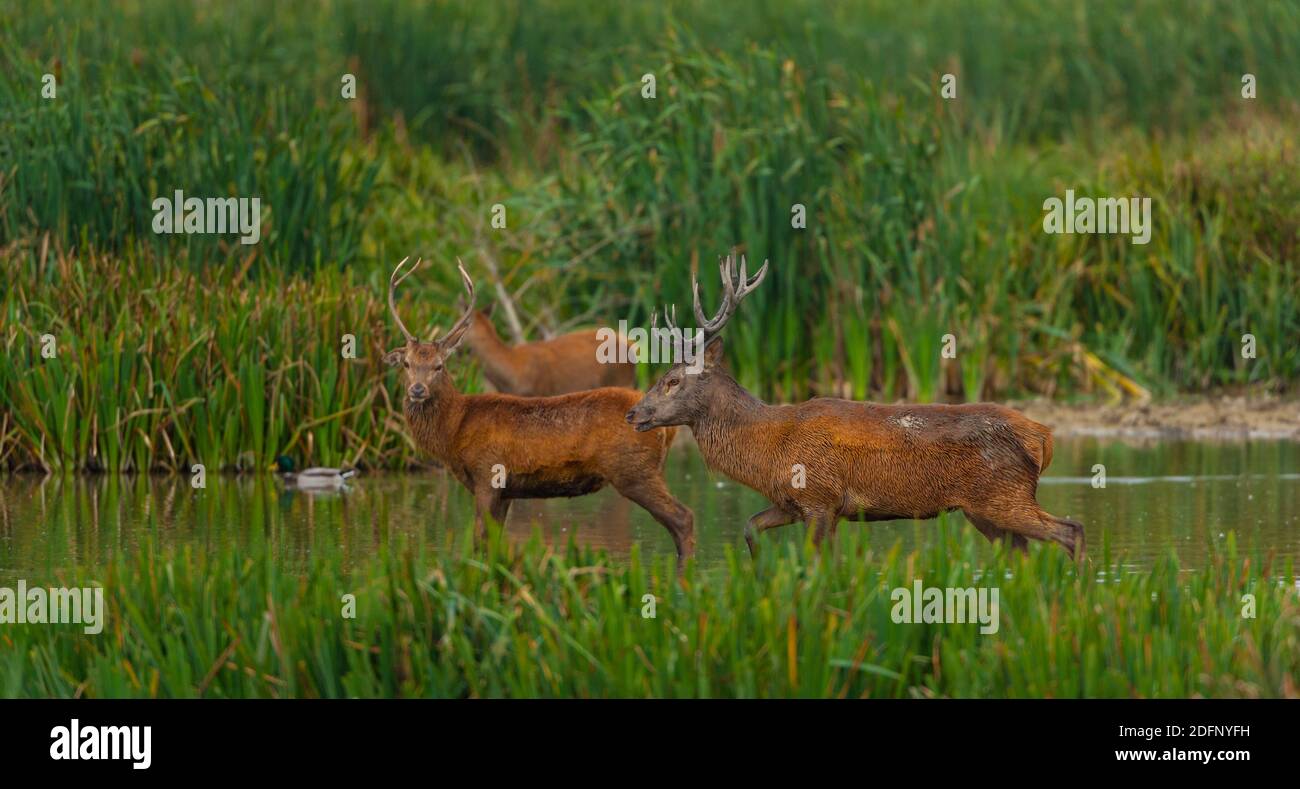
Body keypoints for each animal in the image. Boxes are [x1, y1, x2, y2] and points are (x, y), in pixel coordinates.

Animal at [625, 253, 1086, 563]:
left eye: (672, 380)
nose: (634, 413)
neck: (768, 448)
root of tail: (1042, 436)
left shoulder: (820, 498)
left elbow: (819, 563)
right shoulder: (793, 503)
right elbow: (749, 528)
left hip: (1002, 495)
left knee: (1072, 530)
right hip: (984, 509)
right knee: (1023, 552)